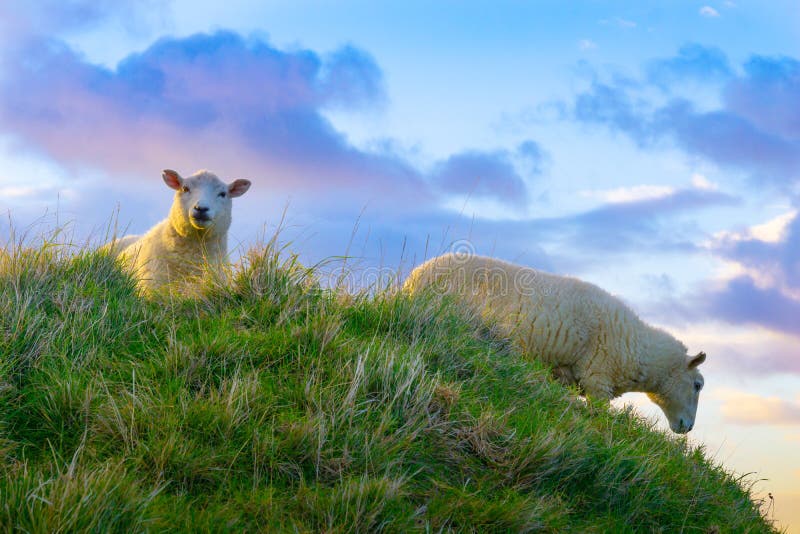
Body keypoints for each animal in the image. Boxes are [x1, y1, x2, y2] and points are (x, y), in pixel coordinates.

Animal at [403, 253, 707, 433]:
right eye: (697, 385)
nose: (688, 427)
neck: (638, 346)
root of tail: (414, 276)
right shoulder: (598, 378)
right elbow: (598, 415)